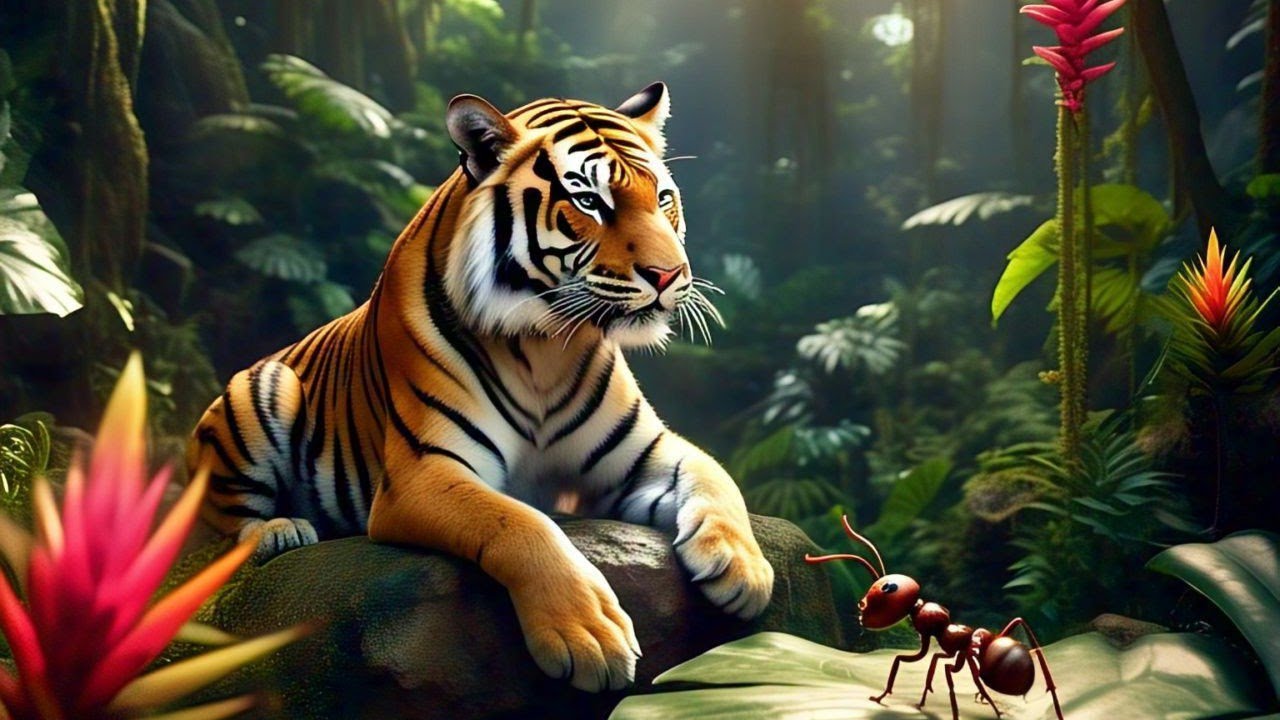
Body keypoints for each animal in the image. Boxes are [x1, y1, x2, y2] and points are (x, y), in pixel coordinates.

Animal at [186, 83, 774, 693]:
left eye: (662, 199)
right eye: (590, 202)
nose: (669, 274)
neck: (546, 346)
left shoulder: (641, 455)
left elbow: (716, 475)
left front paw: (744, 568)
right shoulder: (424, 472)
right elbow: (521, 522)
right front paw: (590, 635)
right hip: (269, 387)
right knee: (220, 523)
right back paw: (282, 530)